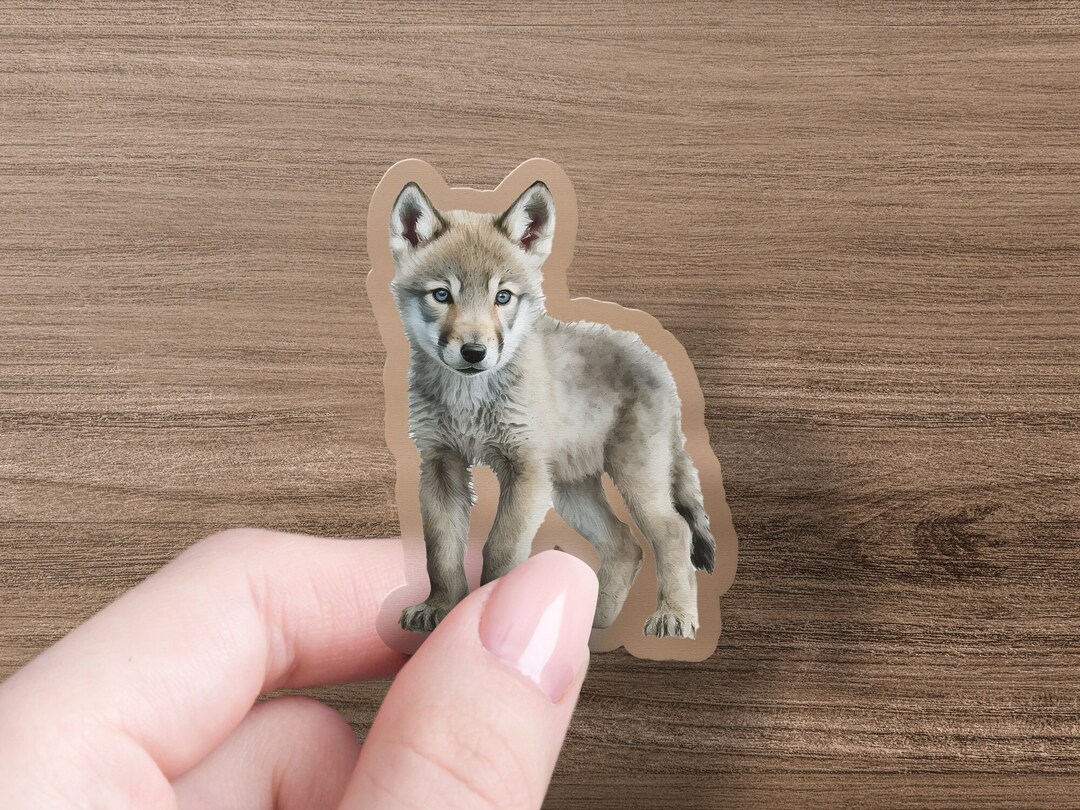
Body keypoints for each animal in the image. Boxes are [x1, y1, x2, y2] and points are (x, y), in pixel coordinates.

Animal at [388, 180, 715, 638]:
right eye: (441, 295)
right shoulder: (440, 465)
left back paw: (674, 616)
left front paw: (492, 612)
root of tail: (658, 361)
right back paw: (591, 623)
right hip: (571, 490)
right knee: (625, 544)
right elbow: (441, 552)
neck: (469, 397)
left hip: (633, 479)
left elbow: (501, 550)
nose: (474, 353)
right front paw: (441, 608)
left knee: (674, 532)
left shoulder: (524, 470)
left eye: (503, 297)